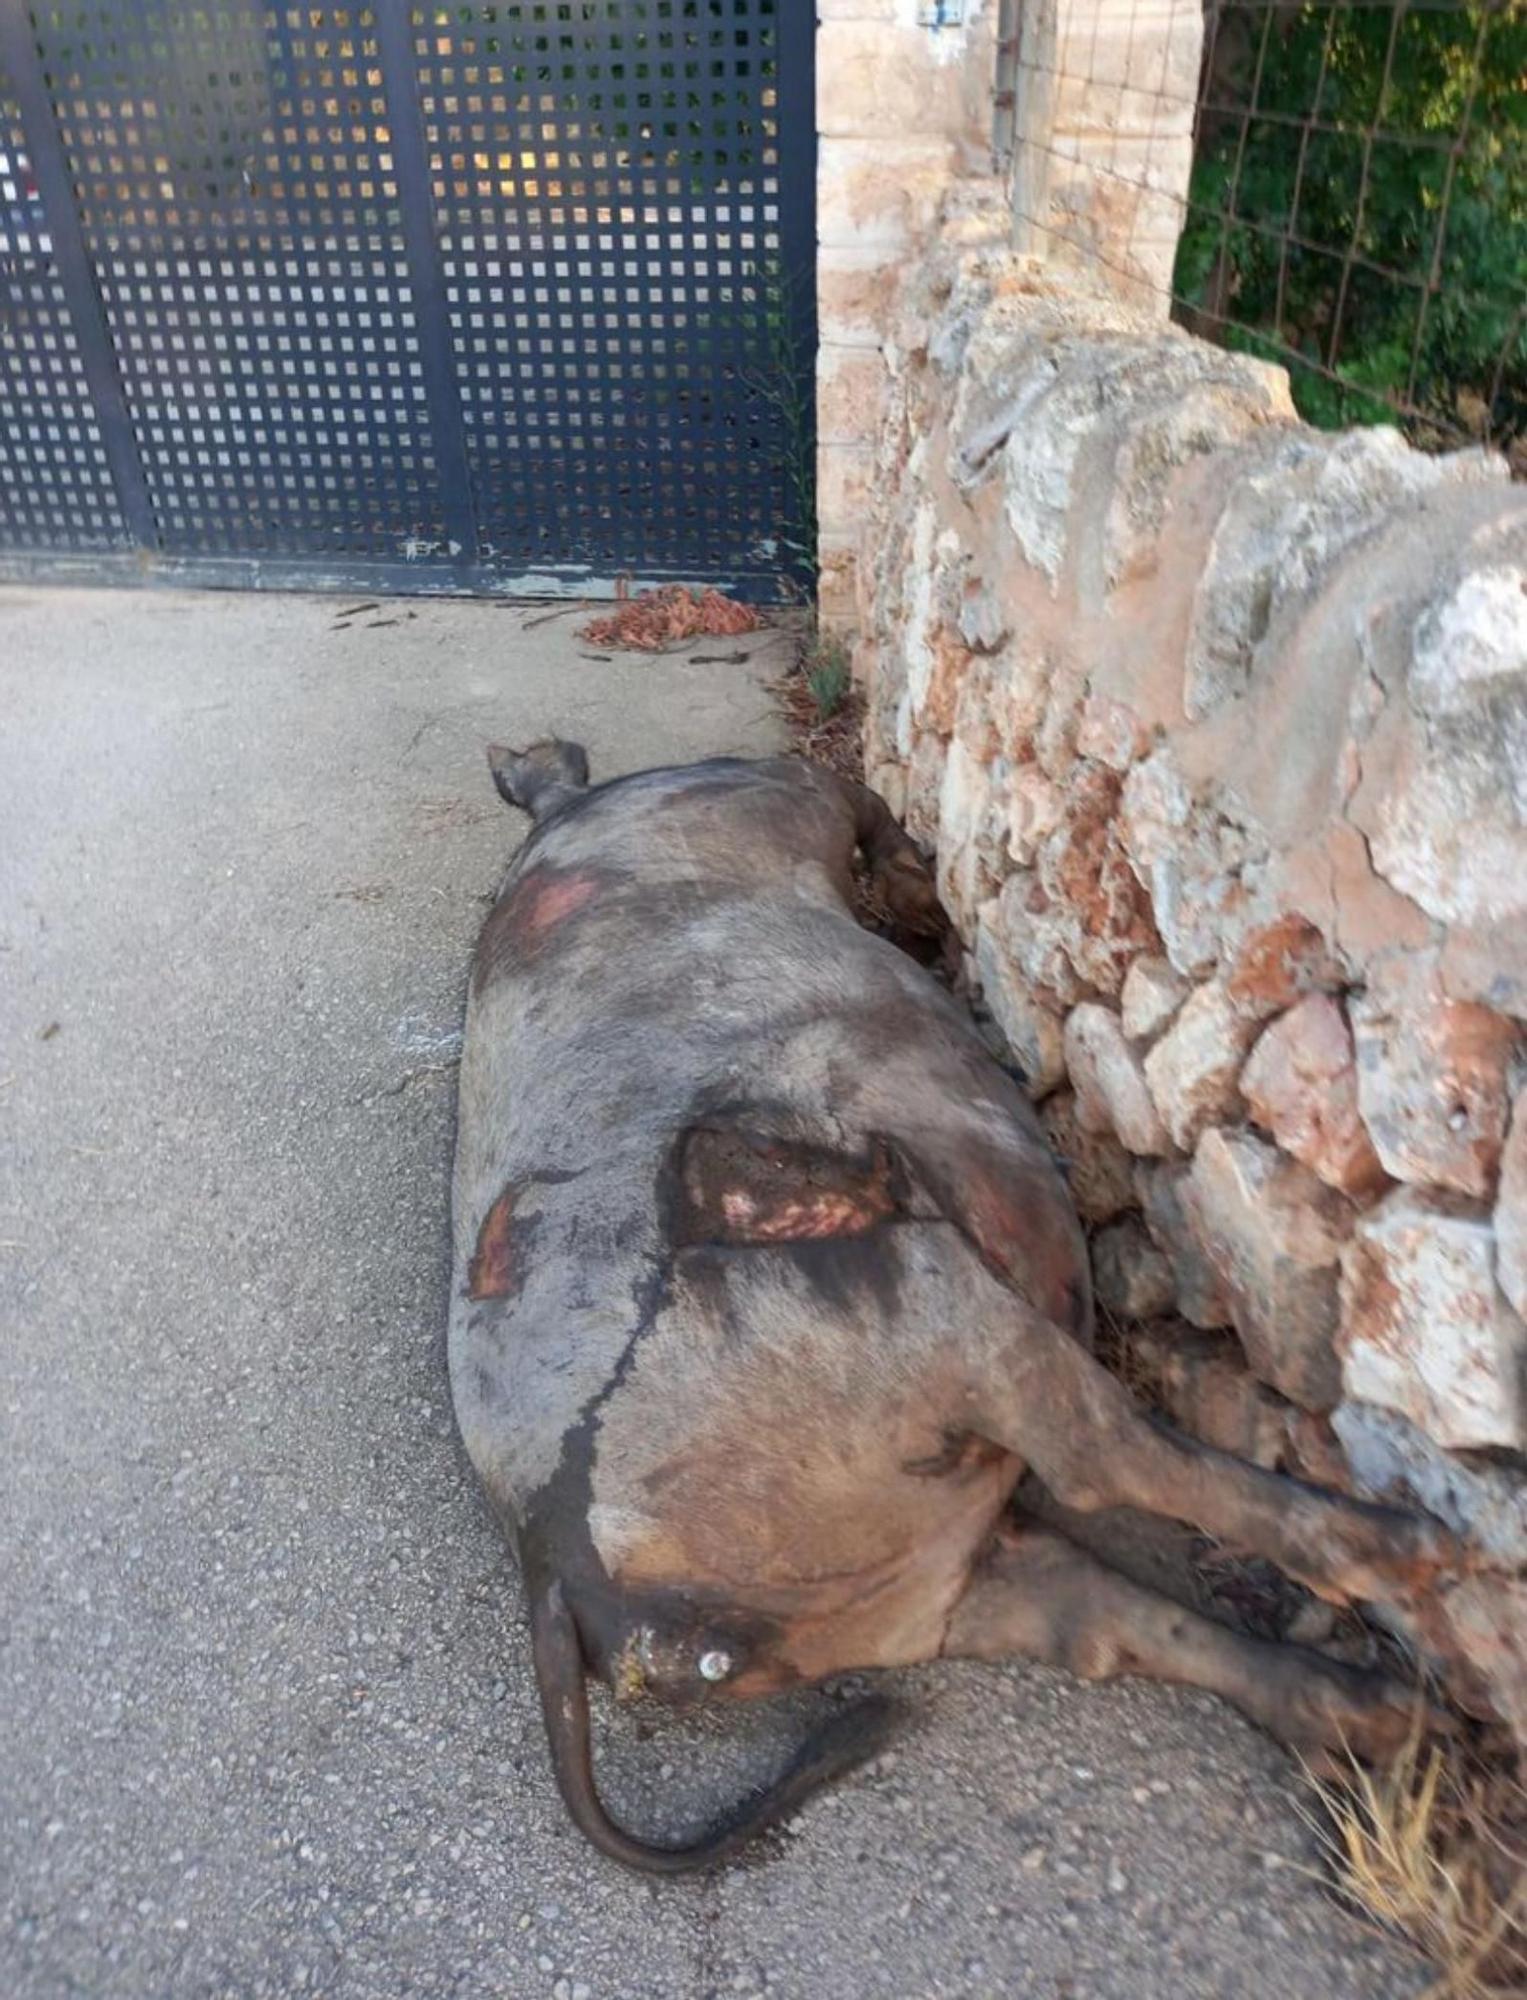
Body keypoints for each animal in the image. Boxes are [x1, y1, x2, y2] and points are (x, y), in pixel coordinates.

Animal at [448, 742, 1457, 1874]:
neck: (572, 810)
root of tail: (554, 1571)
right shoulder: (791, 792)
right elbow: (865, 810)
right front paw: (918, 892)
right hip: (907, 1313)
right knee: (1105, 1454)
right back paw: (1414, 1549)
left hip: (897, 1592)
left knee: (1097, 1620)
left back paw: (1389, 1713)